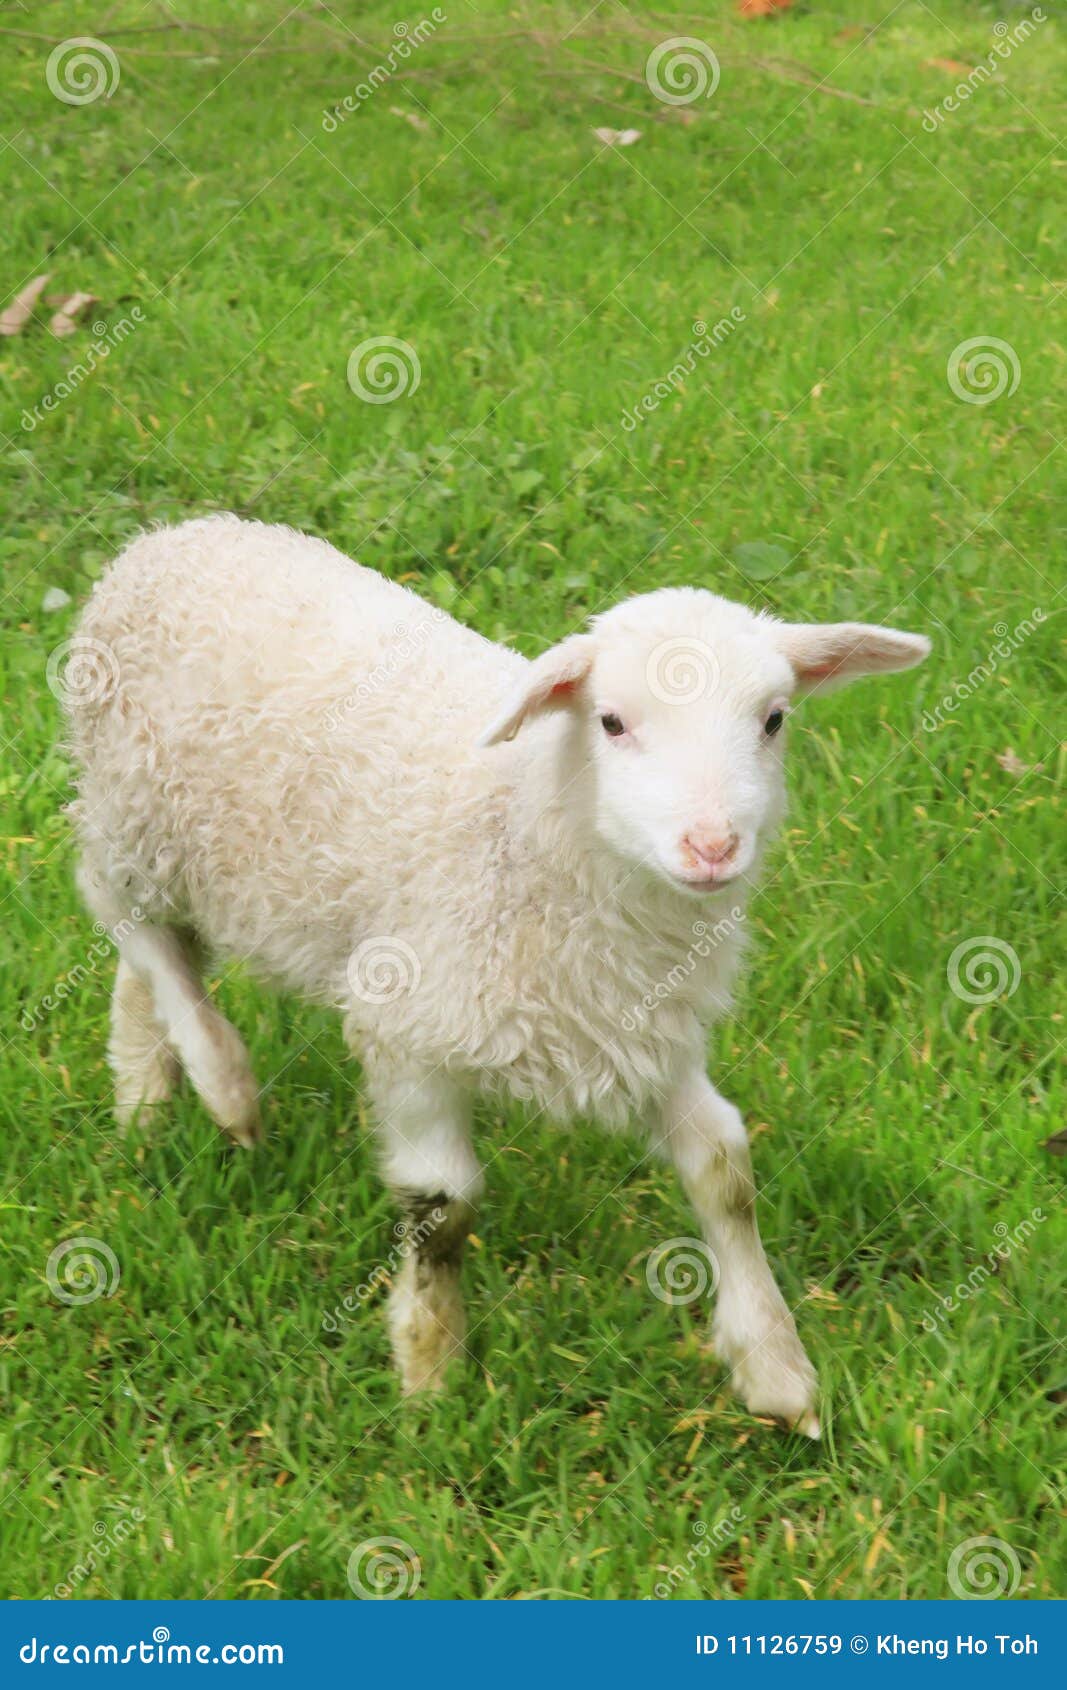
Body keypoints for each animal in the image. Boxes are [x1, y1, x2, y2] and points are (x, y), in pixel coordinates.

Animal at [65, 513, 930, 1436]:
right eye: (611, 722)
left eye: (772, 720)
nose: (711, 846)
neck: (527, 826)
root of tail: (177, 535)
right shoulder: (407, 1032)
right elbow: (442, 1209)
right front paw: (430, 1374)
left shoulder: (637, 1024)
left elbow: (723, 1169)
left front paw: (775, 1369)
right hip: (130, 816)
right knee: (123, 917)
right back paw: (221, 1081)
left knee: (150, 956)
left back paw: (145, 1098)